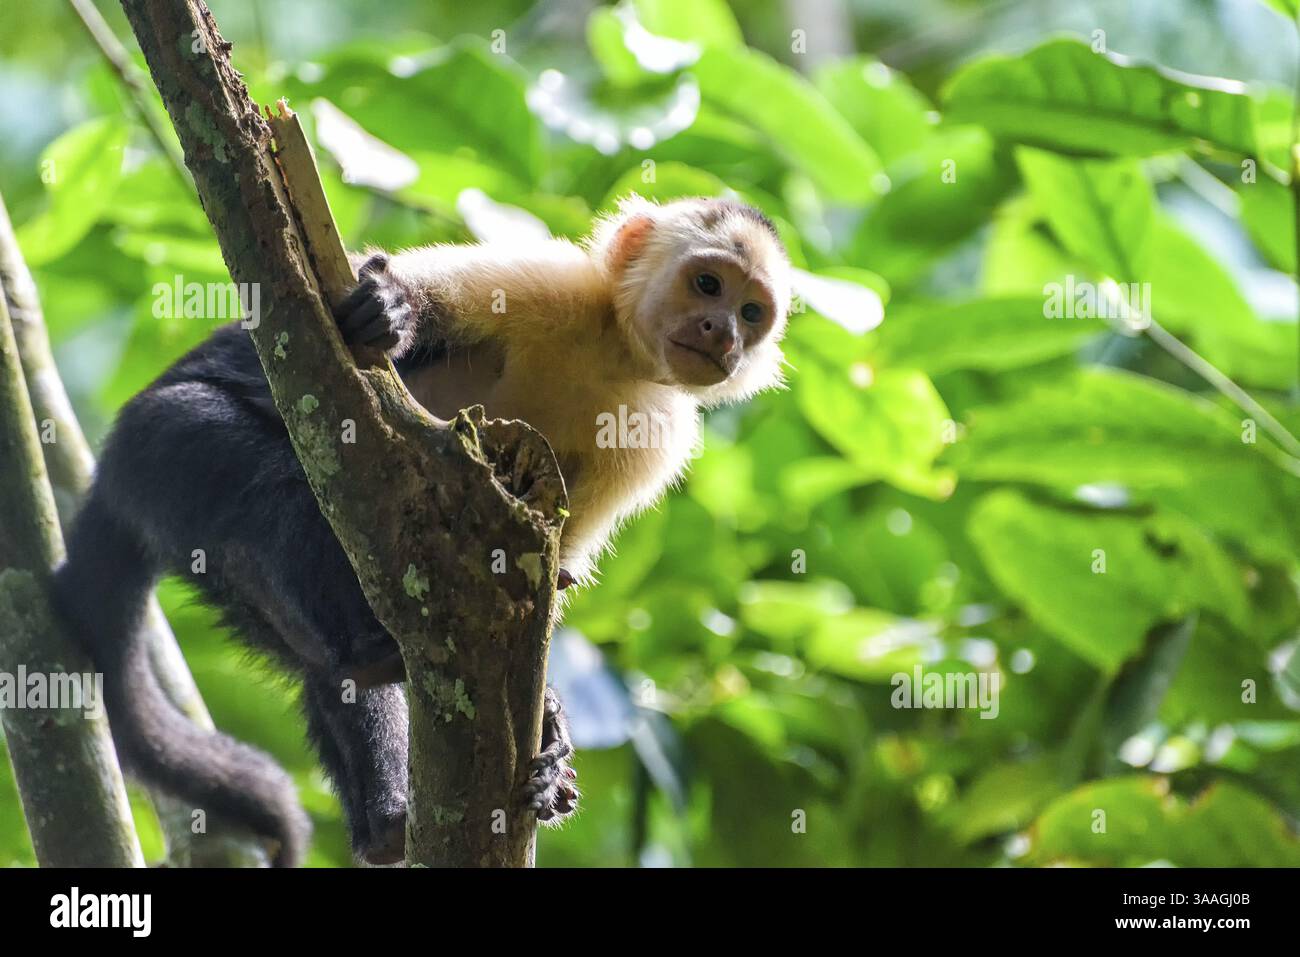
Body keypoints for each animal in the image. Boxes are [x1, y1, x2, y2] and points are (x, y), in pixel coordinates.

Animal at [51, 195, 791, 866]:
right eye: (708, 284)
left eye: (752, 313)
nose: (721, 331)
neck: (614, 354)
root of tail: (108, 471)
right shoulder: (551, 283)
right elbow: (420, 303)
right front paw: (390, 308)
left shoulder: (655, 436)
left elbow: (557, 572)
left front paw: (551, 731)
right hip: (163, 444)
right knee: (285, 482)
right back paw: (369, 649)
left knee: (321, 659)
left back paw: (383, 817)